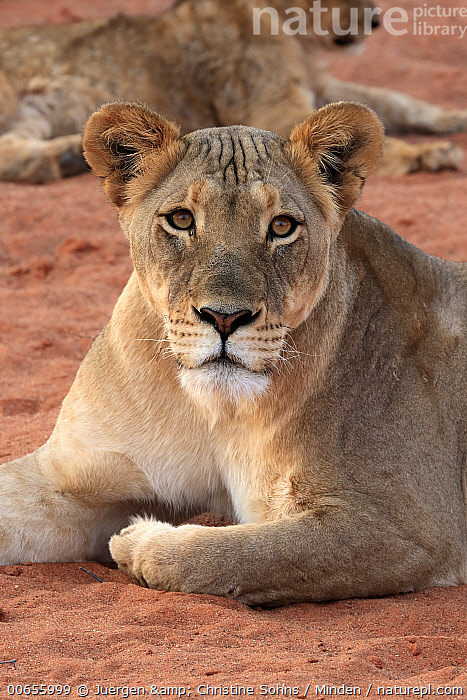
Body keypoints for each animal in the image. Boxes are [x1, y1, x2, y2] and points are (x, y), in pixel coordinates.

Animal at [0, 0, 466, 183]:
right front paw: (431, 155)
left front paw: (453, 118)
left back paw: (64, 157)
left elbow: (394, 102)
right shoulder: (273, 109)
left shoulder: (320, 85)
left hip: (32, 115)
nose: (375, 20)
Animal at [0, 100, 465, 607]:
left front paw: (138, 542)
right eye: (182, 220)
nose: (224, 318)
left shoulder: (411, 526)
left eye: (281, 226)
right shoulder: (68, 474)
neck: (218, 410)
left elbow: (234, 556)